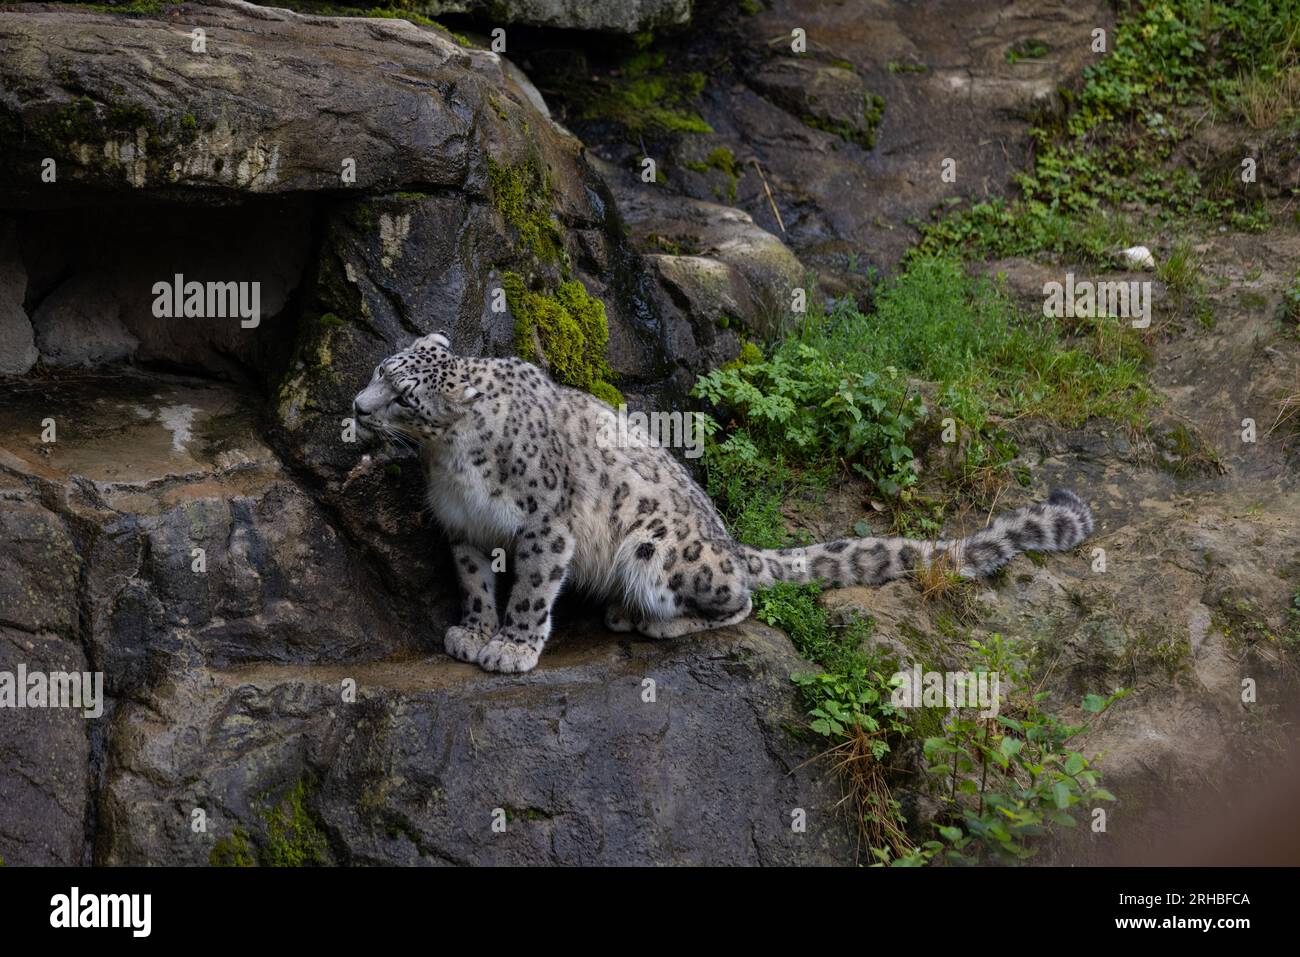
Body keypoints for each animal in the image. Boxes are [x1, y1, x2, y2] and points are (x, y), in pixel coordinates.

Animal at [351, 332, 1095, 673]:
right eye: (379, 370)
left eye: (403, 395)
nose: (357, 406)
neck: (450, 461)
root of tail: (732, 540)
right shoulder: (464, 526)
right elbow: (477, 581)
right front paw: (473, 631)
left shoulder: (544, 524)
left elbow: (531, 589)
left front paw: (511, 646)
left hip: (659, 547)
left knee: (742, 599)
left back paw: (650, 621)